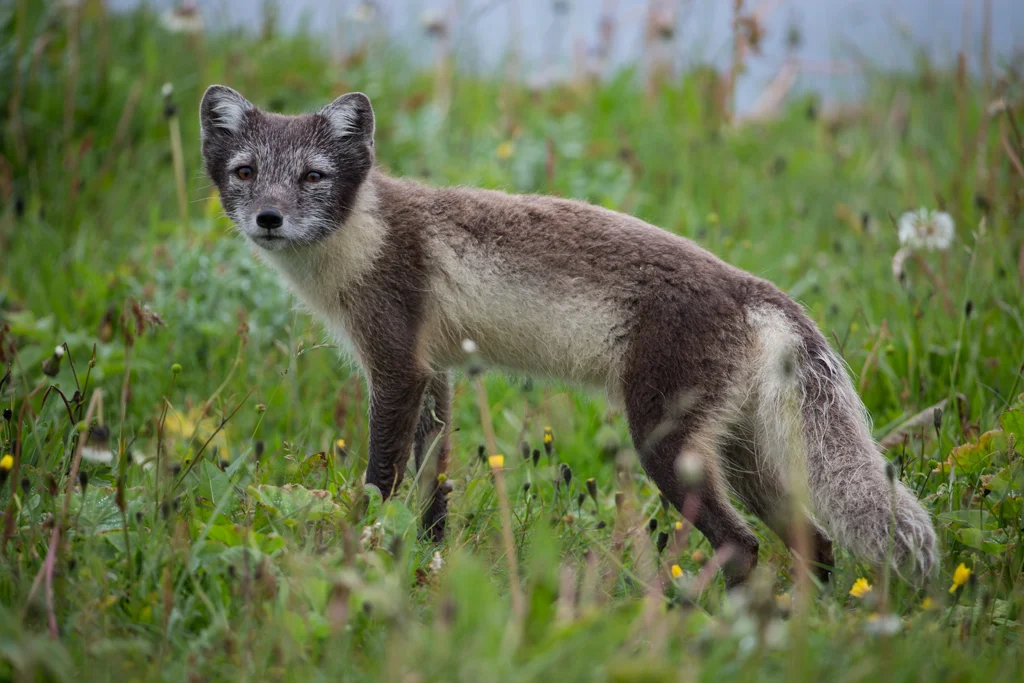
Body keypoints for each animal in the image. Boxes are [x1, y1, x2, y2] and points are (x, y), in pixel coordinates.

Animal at [198, 85, 937, 587]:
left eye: (312, 176)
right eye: (245, 172)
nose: (268, 218)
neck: (363, 239)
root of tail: (757, 290)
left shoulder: (395, 365)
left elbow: (381, 477)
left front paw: (360, 545)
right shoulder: (433, 372)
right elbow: (434, 482)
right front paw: (428, 559)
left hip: (667, 445)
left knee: (744, 544)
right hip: (748, 458)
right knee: (815, 543)